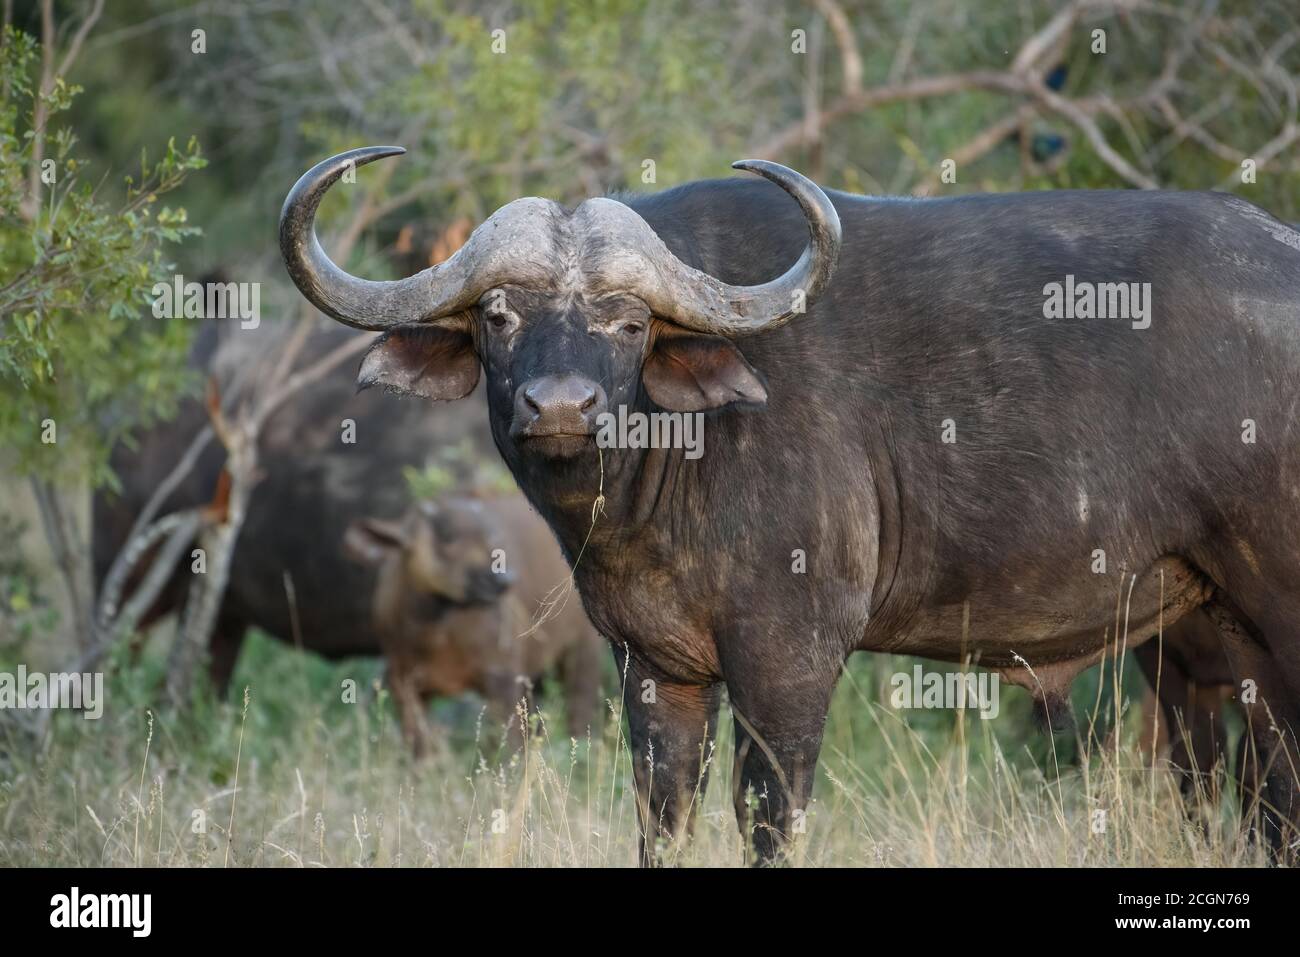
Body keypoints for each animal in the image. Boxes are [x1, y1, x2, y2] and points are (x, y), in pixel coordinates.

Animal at [343, 493, 603, 757]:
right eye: (447, 538)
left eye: (488, 538)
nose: (504, 579)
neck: (436, 634)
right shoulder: (402, 683)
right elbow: (418, 745)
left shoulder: (502, 675)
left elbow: (510, 743)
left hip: (583, 648)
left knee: (580, 703)